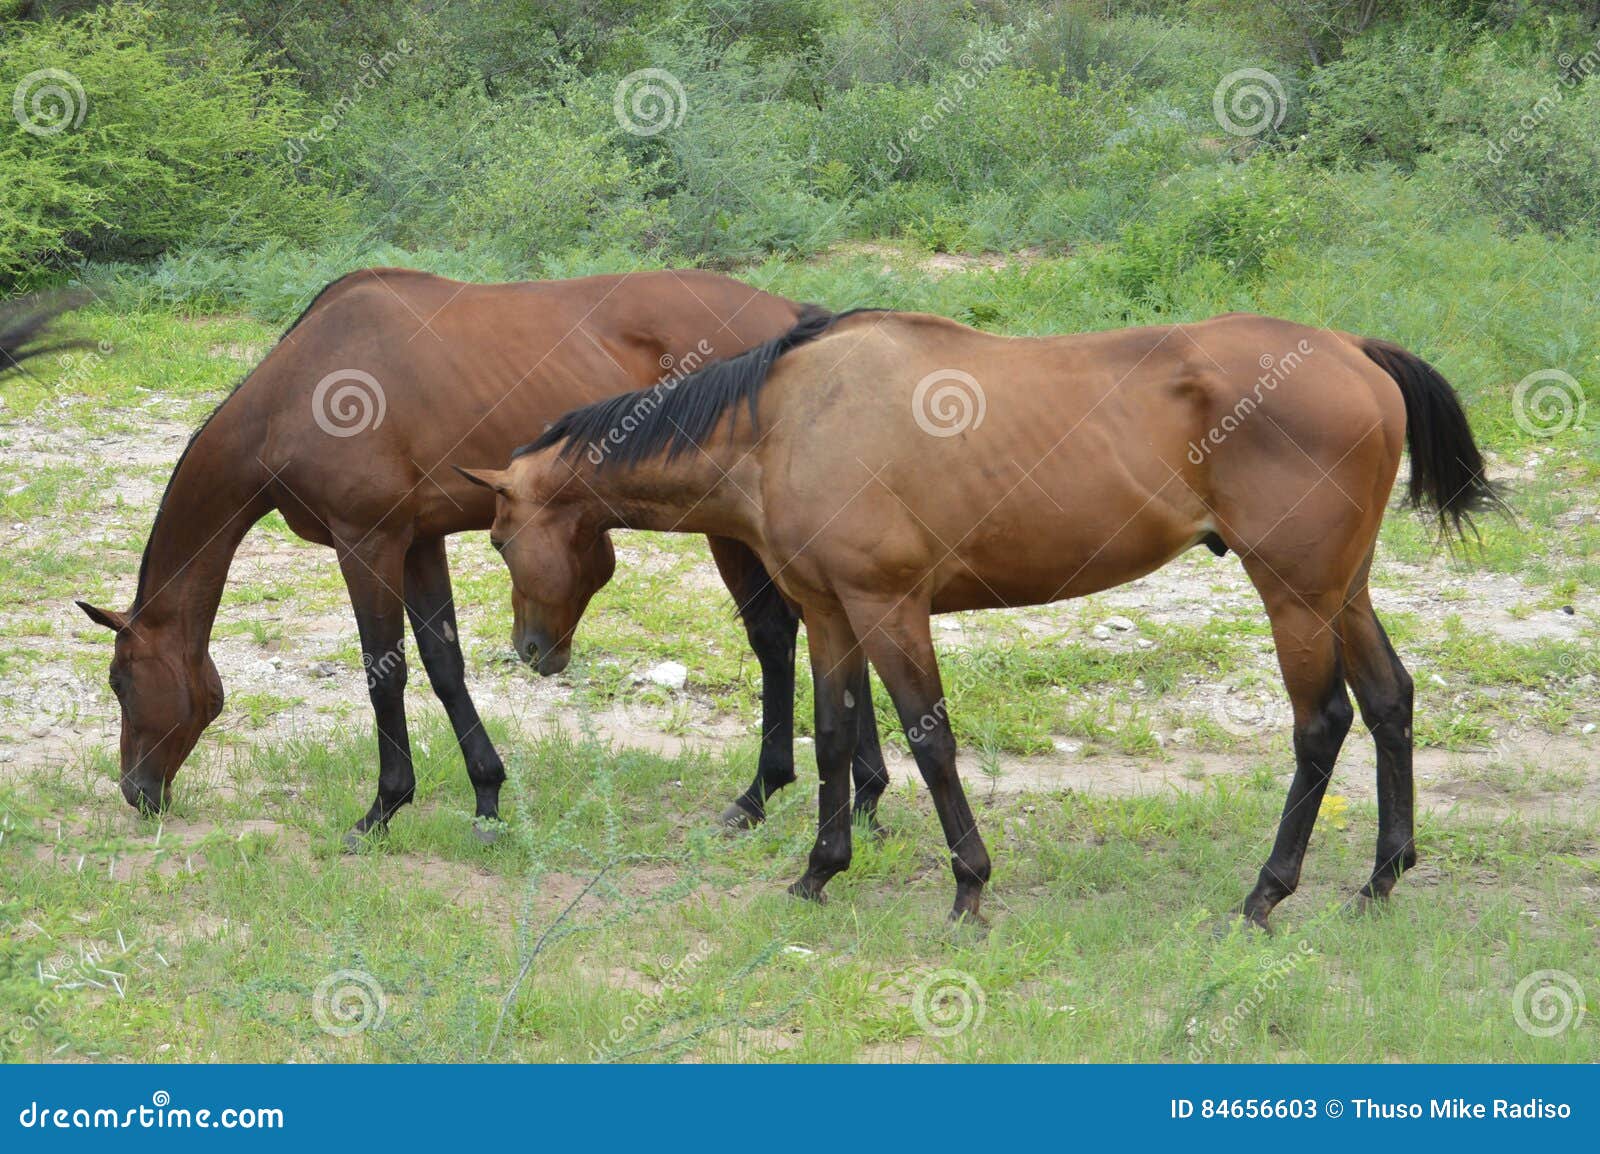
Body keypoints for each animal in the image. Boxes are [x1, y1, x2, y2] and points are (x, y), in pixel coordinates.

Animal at [73, 269, 889, 848]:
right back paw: (866, 796)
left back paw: (763, 795)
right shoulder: (417, 542)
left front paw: (381, 809)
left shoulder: (366, 542)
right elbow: (443, 664)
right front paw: (488, 796)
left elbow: (385, 673)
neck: (297, 393)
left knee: (777, 637)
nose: (136, 792)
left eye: (121, 682)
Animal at [461, 307, 1503, 927]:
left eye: (502, 541)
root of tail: (1353, 352)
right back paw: (1381, 877)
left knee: (1321, 725)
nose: (531, 651)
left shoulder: (889, 608)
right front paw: (820, 869)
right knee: (1391, 701)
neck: (787, 421)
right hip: (1342, 592)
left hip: (1294, 595)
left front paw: (969, 884)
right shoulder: (829, 613)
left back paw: (1265, 893)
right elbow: (836, 737)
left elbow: (929, 742)